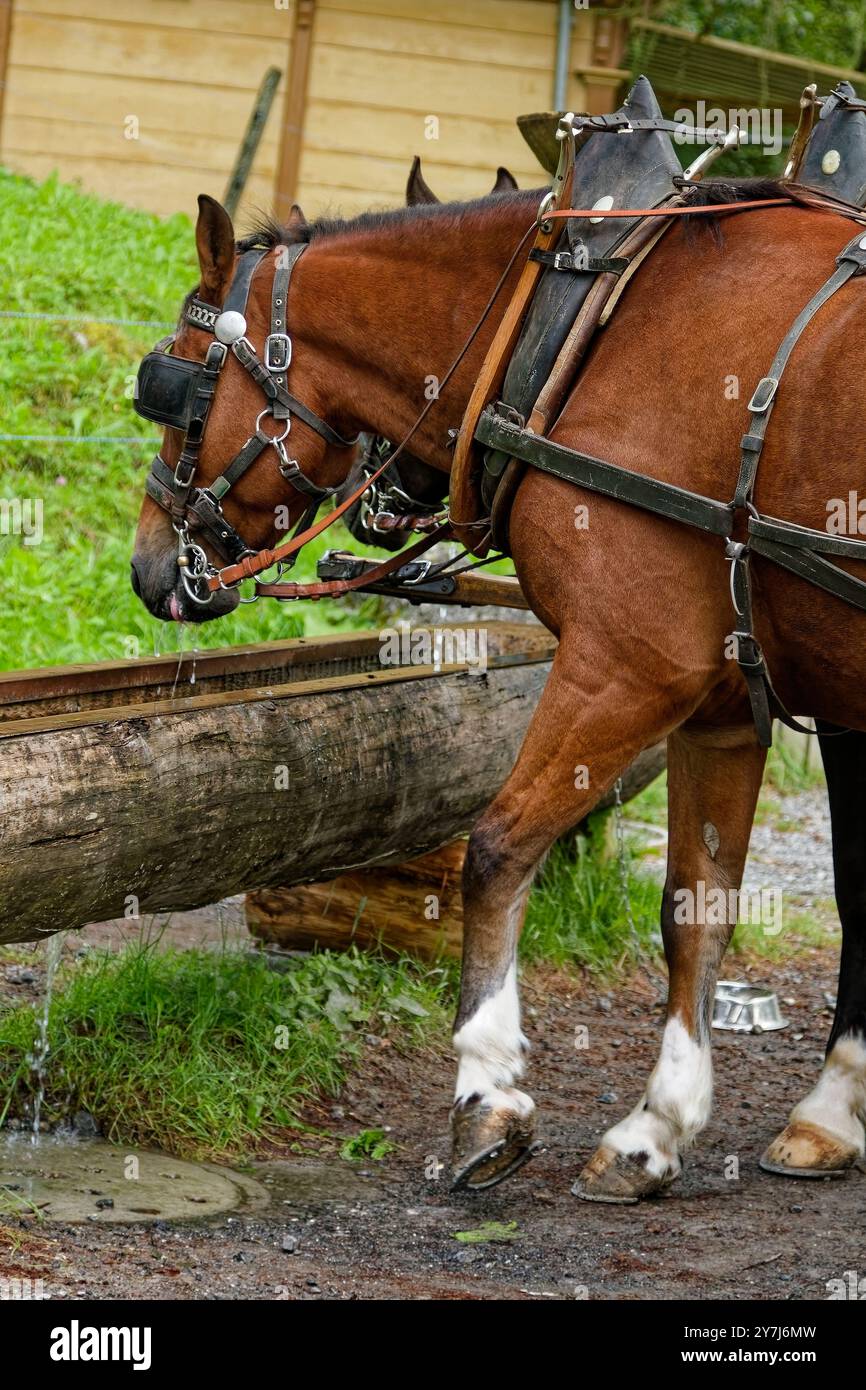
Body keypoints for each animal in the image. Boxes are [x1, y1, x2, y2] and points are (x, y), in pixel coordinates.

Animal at [131, 183, 866, 1201]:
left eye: (181, 391)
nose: (148, 569)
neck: (590, 321)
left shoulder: (626, 669)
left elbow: (497, 850)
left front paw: (486, 1094)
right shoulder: (718, 704)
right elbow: (695, 909)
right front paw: (661, 1124)